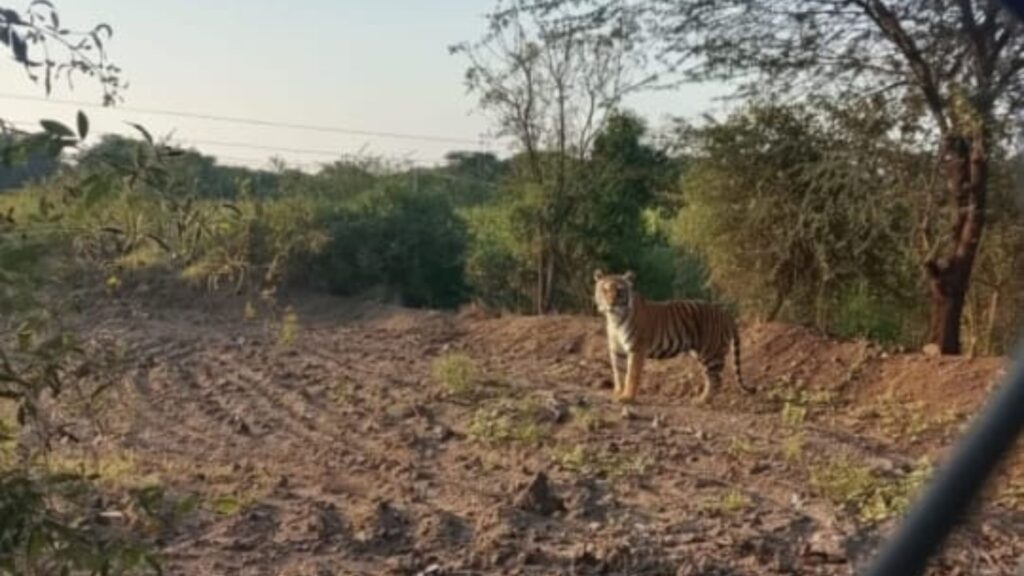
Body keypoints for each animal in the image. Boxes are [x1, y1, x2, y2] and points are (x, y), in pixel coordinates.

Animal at [593, 269, 754, 404]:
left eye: (619, 291)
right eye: (604, 290)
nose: (611, 303)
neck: (615, 319)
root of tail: (725, 313)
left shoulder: (636, 349)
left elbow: (631, 375)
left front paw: (627, 397)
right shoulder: (617, 350)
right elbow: (618, 374)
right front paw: (618, 393)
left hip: (711, 353)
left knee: (716, 381)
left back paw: (702, 401)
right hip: (702, 354)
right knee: (710, 378)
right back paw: (701, 398)